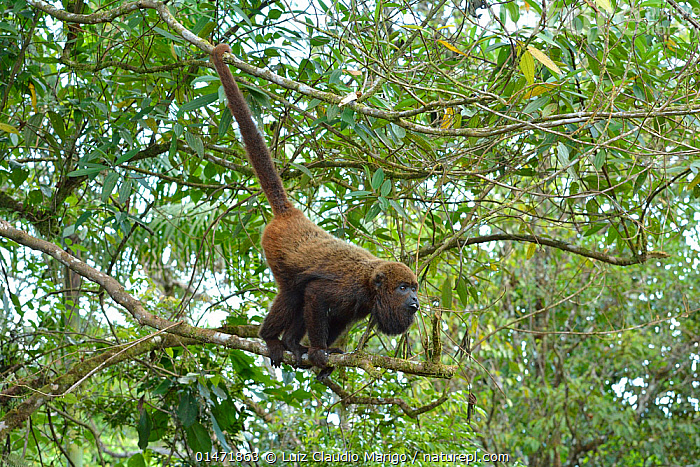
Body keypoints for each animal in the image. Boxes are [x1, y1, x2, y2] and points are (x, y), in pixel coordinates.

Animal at [211, 44, 419, 378]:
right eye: (402, 288)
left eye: (414, 288)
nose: (414, 300)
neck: (370, 285)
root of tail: (291, 214)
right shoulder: (348, 287)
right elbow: (315, 296)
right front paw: (320, 350)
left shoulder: (361, 305)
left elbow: (341, 318)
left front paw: (325, 353)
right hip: (275, 248)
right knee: (293, 292)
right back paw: (272, 338)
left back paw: (292, 343)